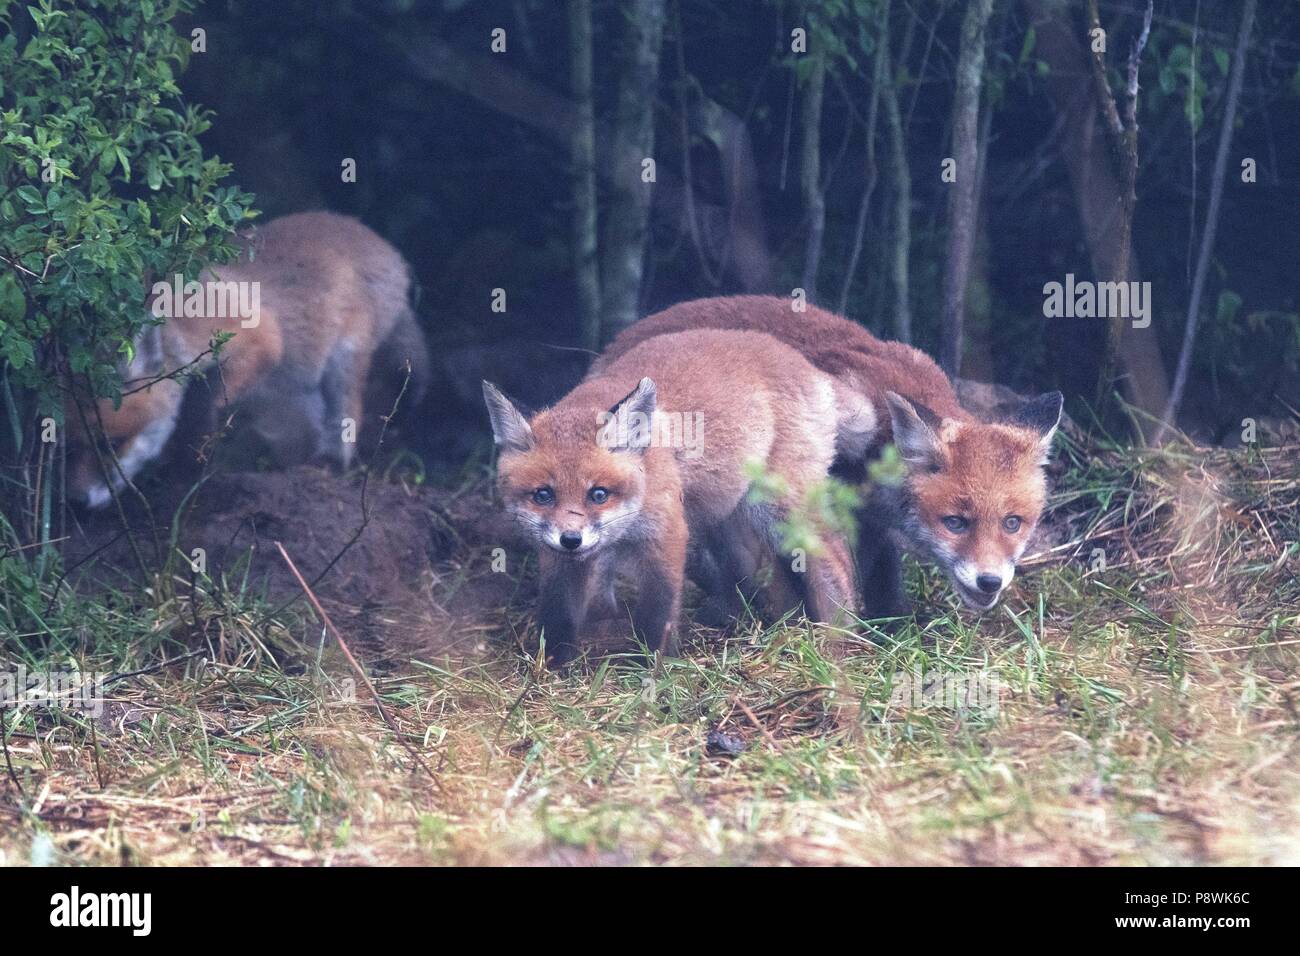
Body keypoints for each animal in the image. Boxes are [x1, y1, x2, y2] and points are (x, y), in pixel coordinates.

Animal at [67, 211, 427, 508]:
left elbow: (208, 407)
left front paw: (195, 466)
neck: (185, 323)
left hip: (345, 363)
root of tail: (385, 246)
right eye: (70, 445)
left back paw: (328, 467)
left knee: (344, 424)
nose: (77, 501)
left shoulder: (261, 340)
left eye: (111, 443)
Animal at [483, 328, 872, 664]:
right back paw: (773, 621)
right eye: (543, 495)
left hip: (777, 507)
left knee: (835, 554)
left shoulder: (666, 535)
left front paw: (655, 671)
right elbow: (557, 613)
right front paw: (552, 667)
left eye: (598, 494)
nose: (571, 539)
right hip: (731, 516)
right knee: (761, 567)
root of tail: (806, 365)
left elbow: (658, 615)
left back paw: (838, 636)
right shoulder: (557, 558)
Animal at [593, 295, 1063, 615]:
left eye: (1013, 523)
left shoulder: (871, 520)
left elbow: (882, 574)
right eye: (955, 523)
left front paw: (891, 624)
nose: (990, 582)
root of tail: (617, 345)